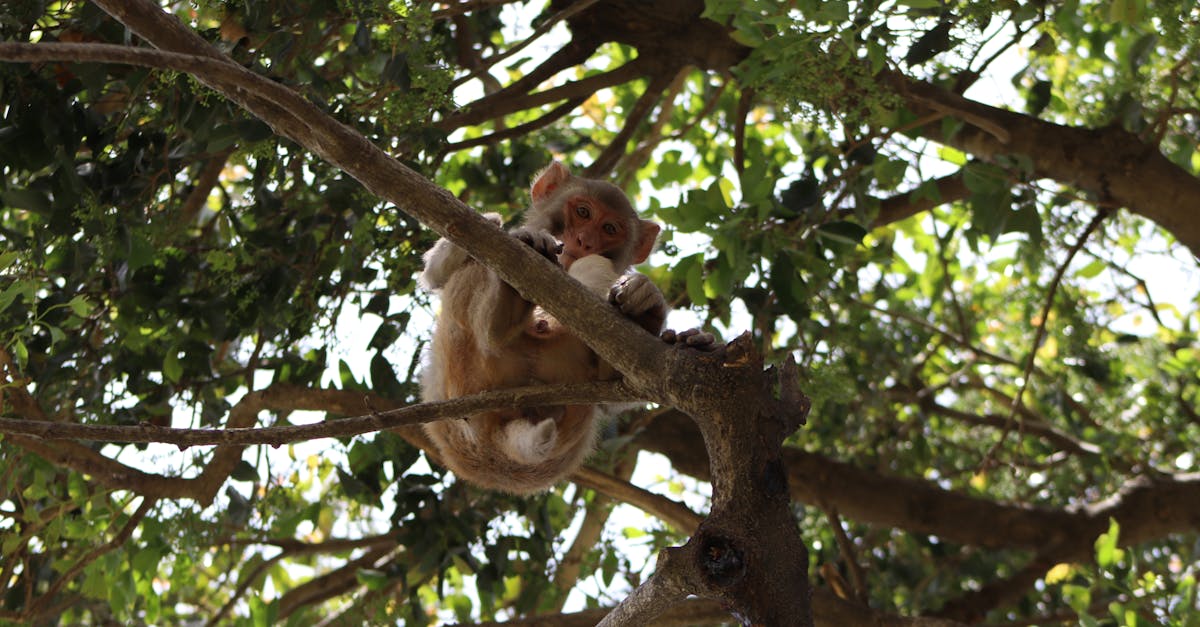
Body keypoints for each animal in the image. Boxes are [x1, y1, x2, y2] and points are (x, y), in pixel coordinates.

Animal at [420, 160, 667, 492]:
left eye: (610, 229)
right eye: (583, 212)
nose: (584, 241)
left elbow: (619, 397)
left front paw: (645, 296)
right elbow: (435, 273)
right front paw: (509, 227)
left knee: (595, 269)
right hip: (459, 365)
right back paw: (506, 310)